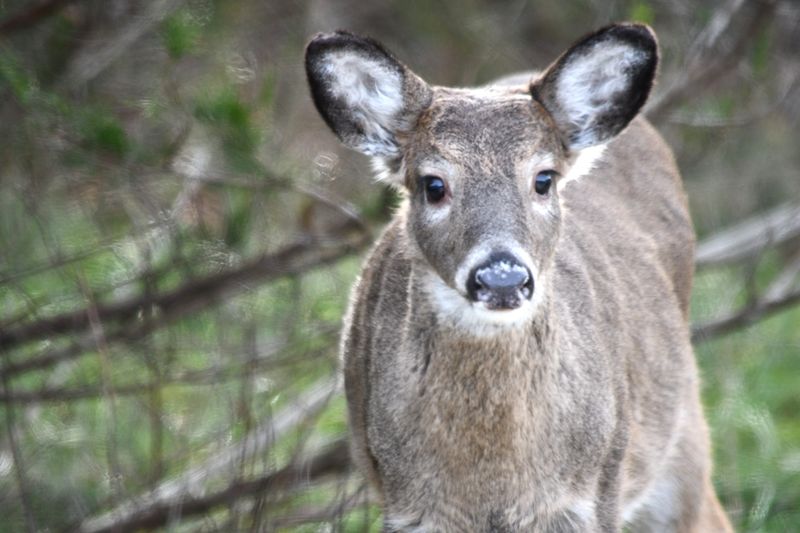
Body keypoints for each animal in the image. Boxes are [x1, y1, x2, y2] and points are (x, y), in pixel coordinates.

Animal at [305, 23, 733, 532]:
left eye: (543, 178)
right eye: (433, 185)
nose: (502, 278)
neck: (496, 481)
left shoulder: (594, 495)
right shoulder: (409, 507)